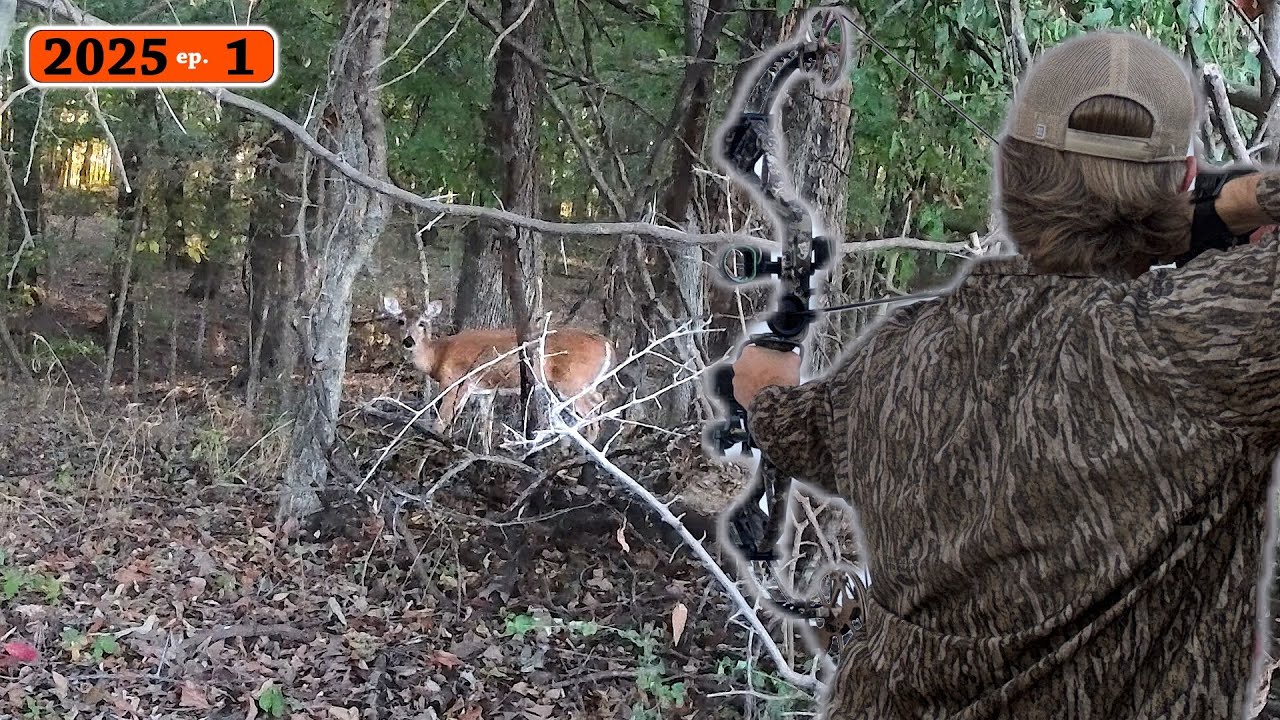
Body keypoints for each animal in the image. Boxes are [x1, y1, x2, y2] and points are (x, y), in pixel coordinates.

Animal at [381, 296, 615, 447]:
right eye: (400, 321)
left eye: (423, 323)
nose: (408, 341)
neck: (437, 357)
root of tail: (605, 343)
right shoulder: (484, 391)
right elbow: (485, 427)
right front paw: (485, 455)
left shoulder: (457, 382)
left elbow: (441, 422)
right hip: (585, 382)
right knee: (599, 400)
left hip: (571, 381)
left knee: (592, 408)